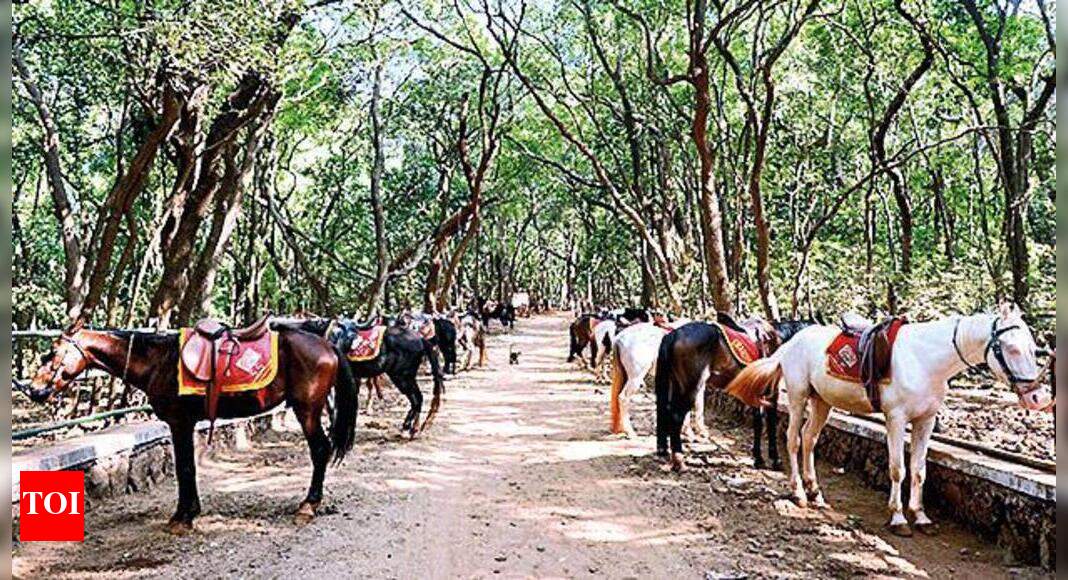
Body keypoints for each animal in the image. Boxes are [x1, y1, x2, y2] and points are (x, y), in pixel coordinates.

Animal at [25, 320, 358, 533]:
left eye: (52, 353)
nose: (34, 389)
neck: (158, 361)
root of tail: (328, 345)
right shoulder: (183, 424)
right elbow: (188, 466)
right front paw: (190, 512)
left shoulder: (179, 421)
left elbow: (185, 467)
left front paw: (182, 518)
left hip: (308, 409)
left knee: (320, 450)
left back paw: (308, 505)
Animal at [292, 318, 445, 438]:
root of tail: (421, 339)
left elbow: (332, 405)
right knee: (416, 399)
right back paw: (410, 427)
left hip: (402, 376)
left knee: (417, 398)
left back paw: (411, 428)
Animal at [652, 315, 814, 472]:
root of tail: (673, 334)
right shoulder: (770, 391)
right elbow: (770, 422)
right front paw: (775, 460)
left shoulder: (756, 392)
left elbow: (758, 421)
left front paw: (758, 458)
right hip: (692, 386)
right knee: (676, 416)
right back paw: (679, 460)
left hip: (674, 384)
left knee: (665, 410)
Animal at [725, 303, 1051, 536]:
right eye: (1011, 349)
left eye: (1033, 348)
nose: (1038, 397)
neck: (925, 359)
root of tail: (789, 343)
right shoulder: (896, 419)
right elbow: (898, 470)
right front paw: (897, 518)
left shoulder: (925, 420)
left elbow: (918, 470)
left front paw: (920, 516)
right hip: (797, 396)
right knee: (792, 439)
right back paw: (798, 493)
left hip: (821, 402)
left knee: (809, 439)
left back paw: (815, 491)